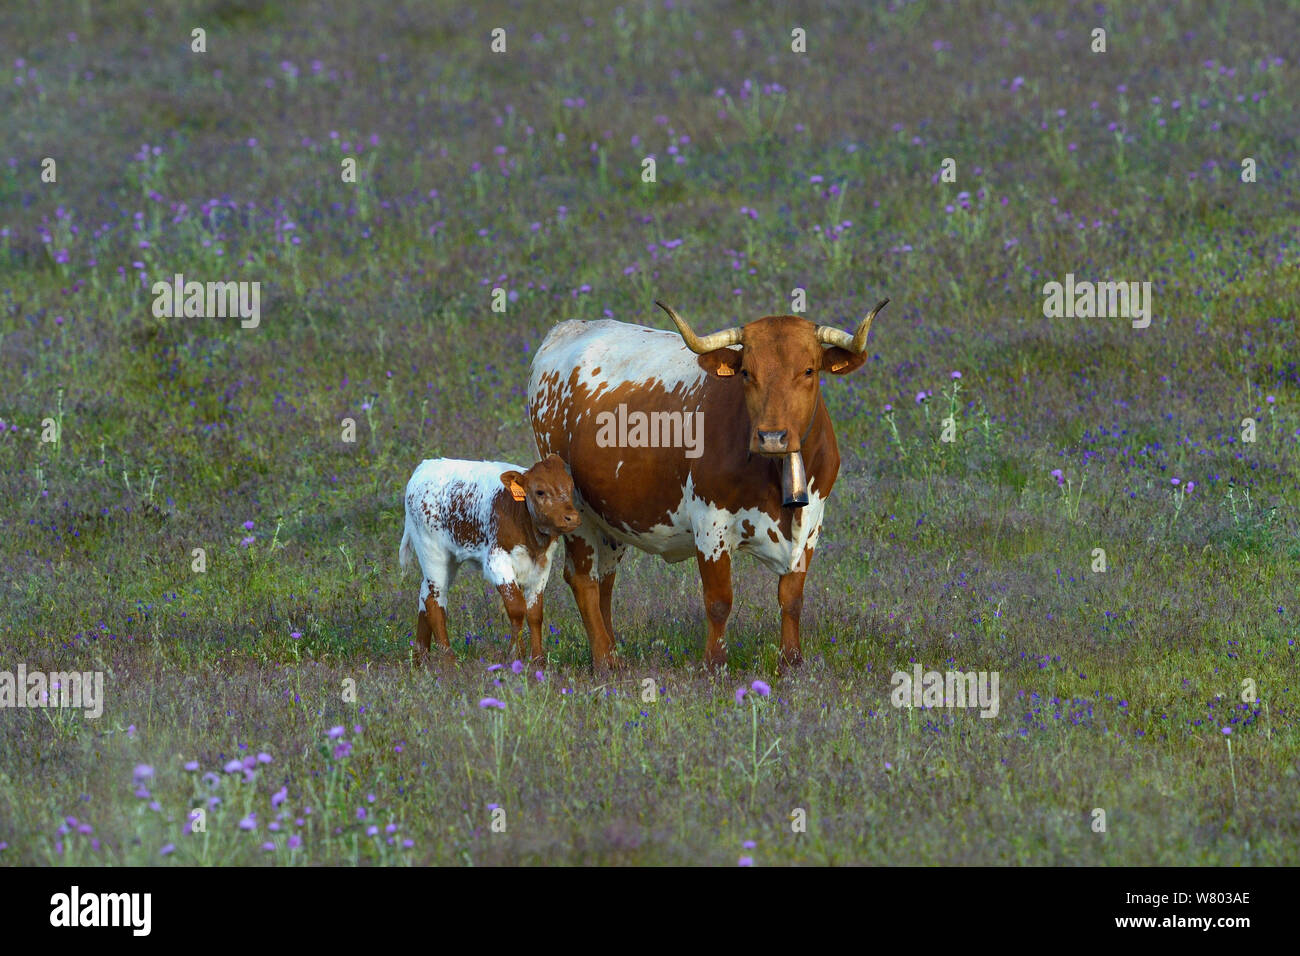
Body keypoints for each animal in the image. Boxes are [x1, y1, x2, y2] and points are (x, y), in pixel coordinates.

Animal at [399, 454, 580, 664]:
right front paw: (516, 655)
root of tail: (425, 466)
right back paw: (449, 660)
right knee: (434, 601)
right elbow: (517, 607)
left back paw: (420, 658)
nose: (572, 517)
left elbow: (535, 612)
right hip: (433, 552)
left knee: (426, 594)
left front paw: (538, 660)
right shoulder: (497, 560)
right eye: (540, 491)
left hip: (449, 559)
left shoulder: (543, 565)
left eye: (570, 487)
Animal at [527, 298, 888, 671]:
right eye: (747, 373)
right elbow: (719, 601)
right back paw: (604, 660)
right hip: (574, 511)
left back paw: (612, 652)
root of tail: (569, 328)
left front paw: (792, 662)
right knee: (583, 579)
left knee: (605, 580)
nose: (772, 437)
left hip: (610, 518)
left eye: (808, 371)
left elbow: (792, 598)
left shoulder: (812, 522)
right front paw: (714, 664)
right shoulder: (710, 523)